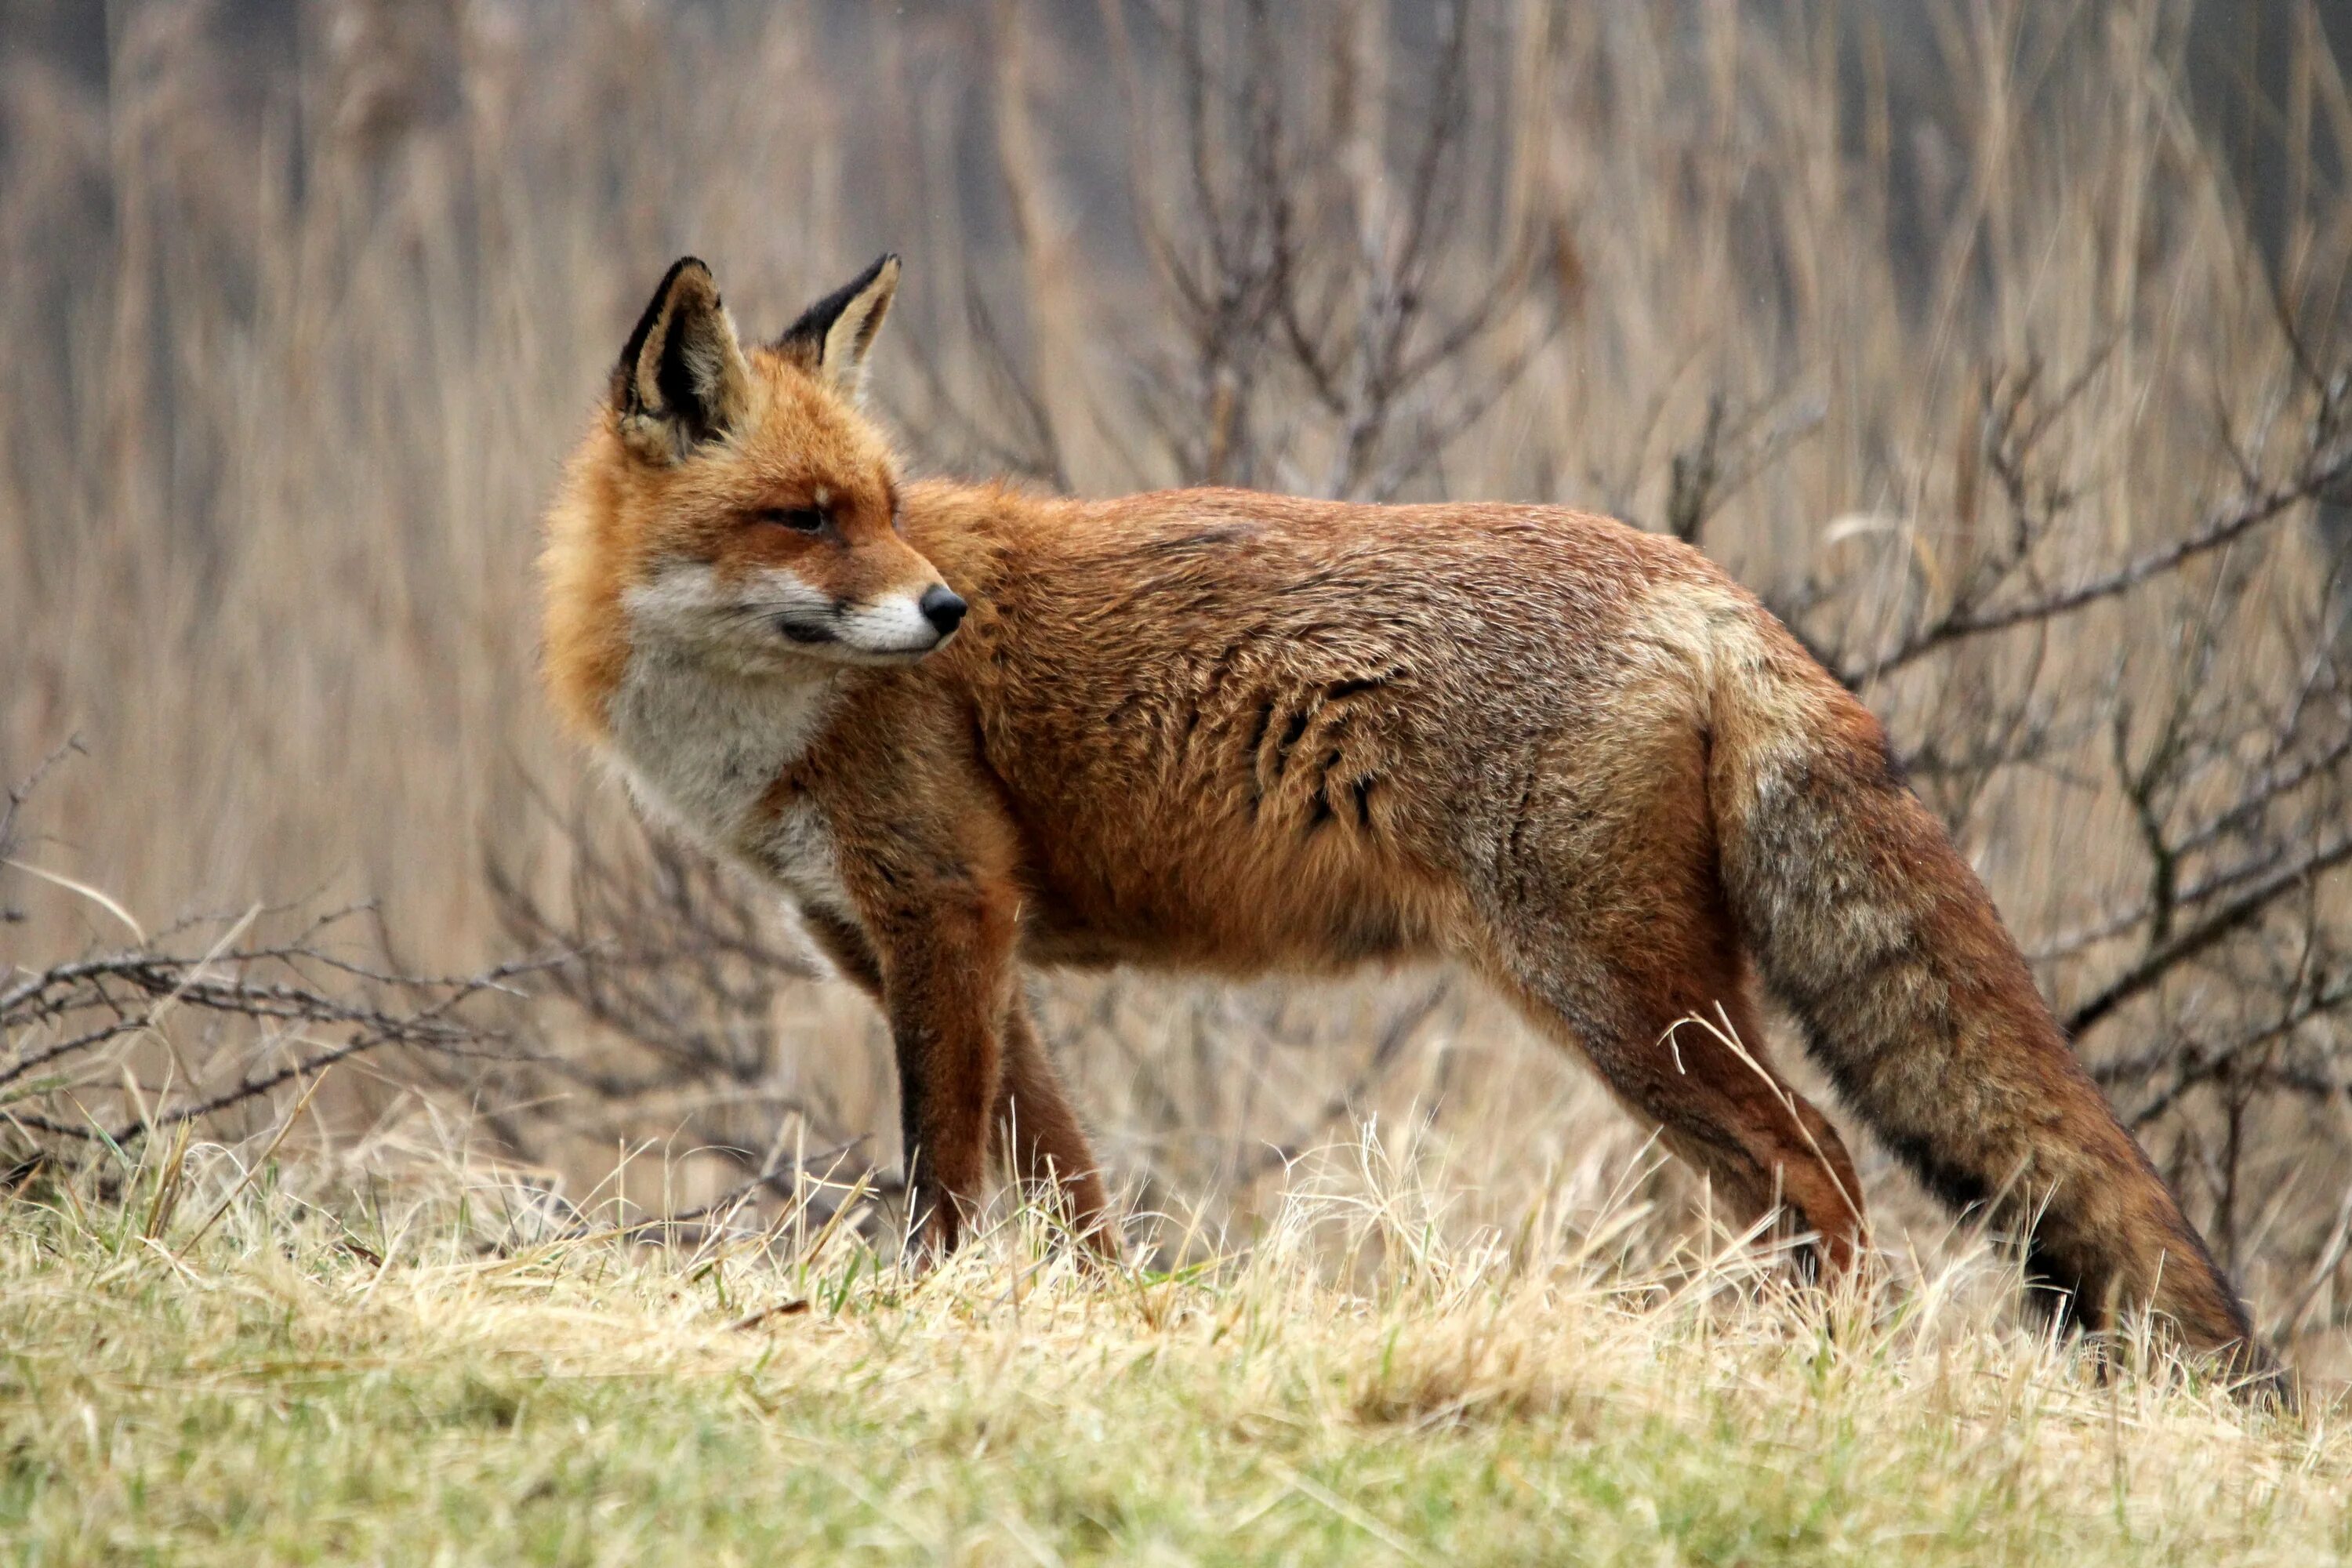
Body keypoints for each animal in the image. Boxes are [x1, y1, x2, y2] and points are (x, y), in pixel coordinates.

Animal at [541, 255, 2267, 1373]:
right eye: (808, 517)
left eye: (887, 508)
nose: (948, 612)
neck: (755, 732)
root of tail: (1706, 583)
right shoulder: (927, 939)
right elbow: (1069, 1182)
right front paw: (1100, 1322)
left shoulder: (944, 911)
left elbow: (945, 1181)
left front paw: (933, 1318)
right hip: (1643, 1014)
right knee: (1782, 1191)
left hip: (1614, 992)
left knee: (1825, 1173)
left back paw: (1817, 1387)